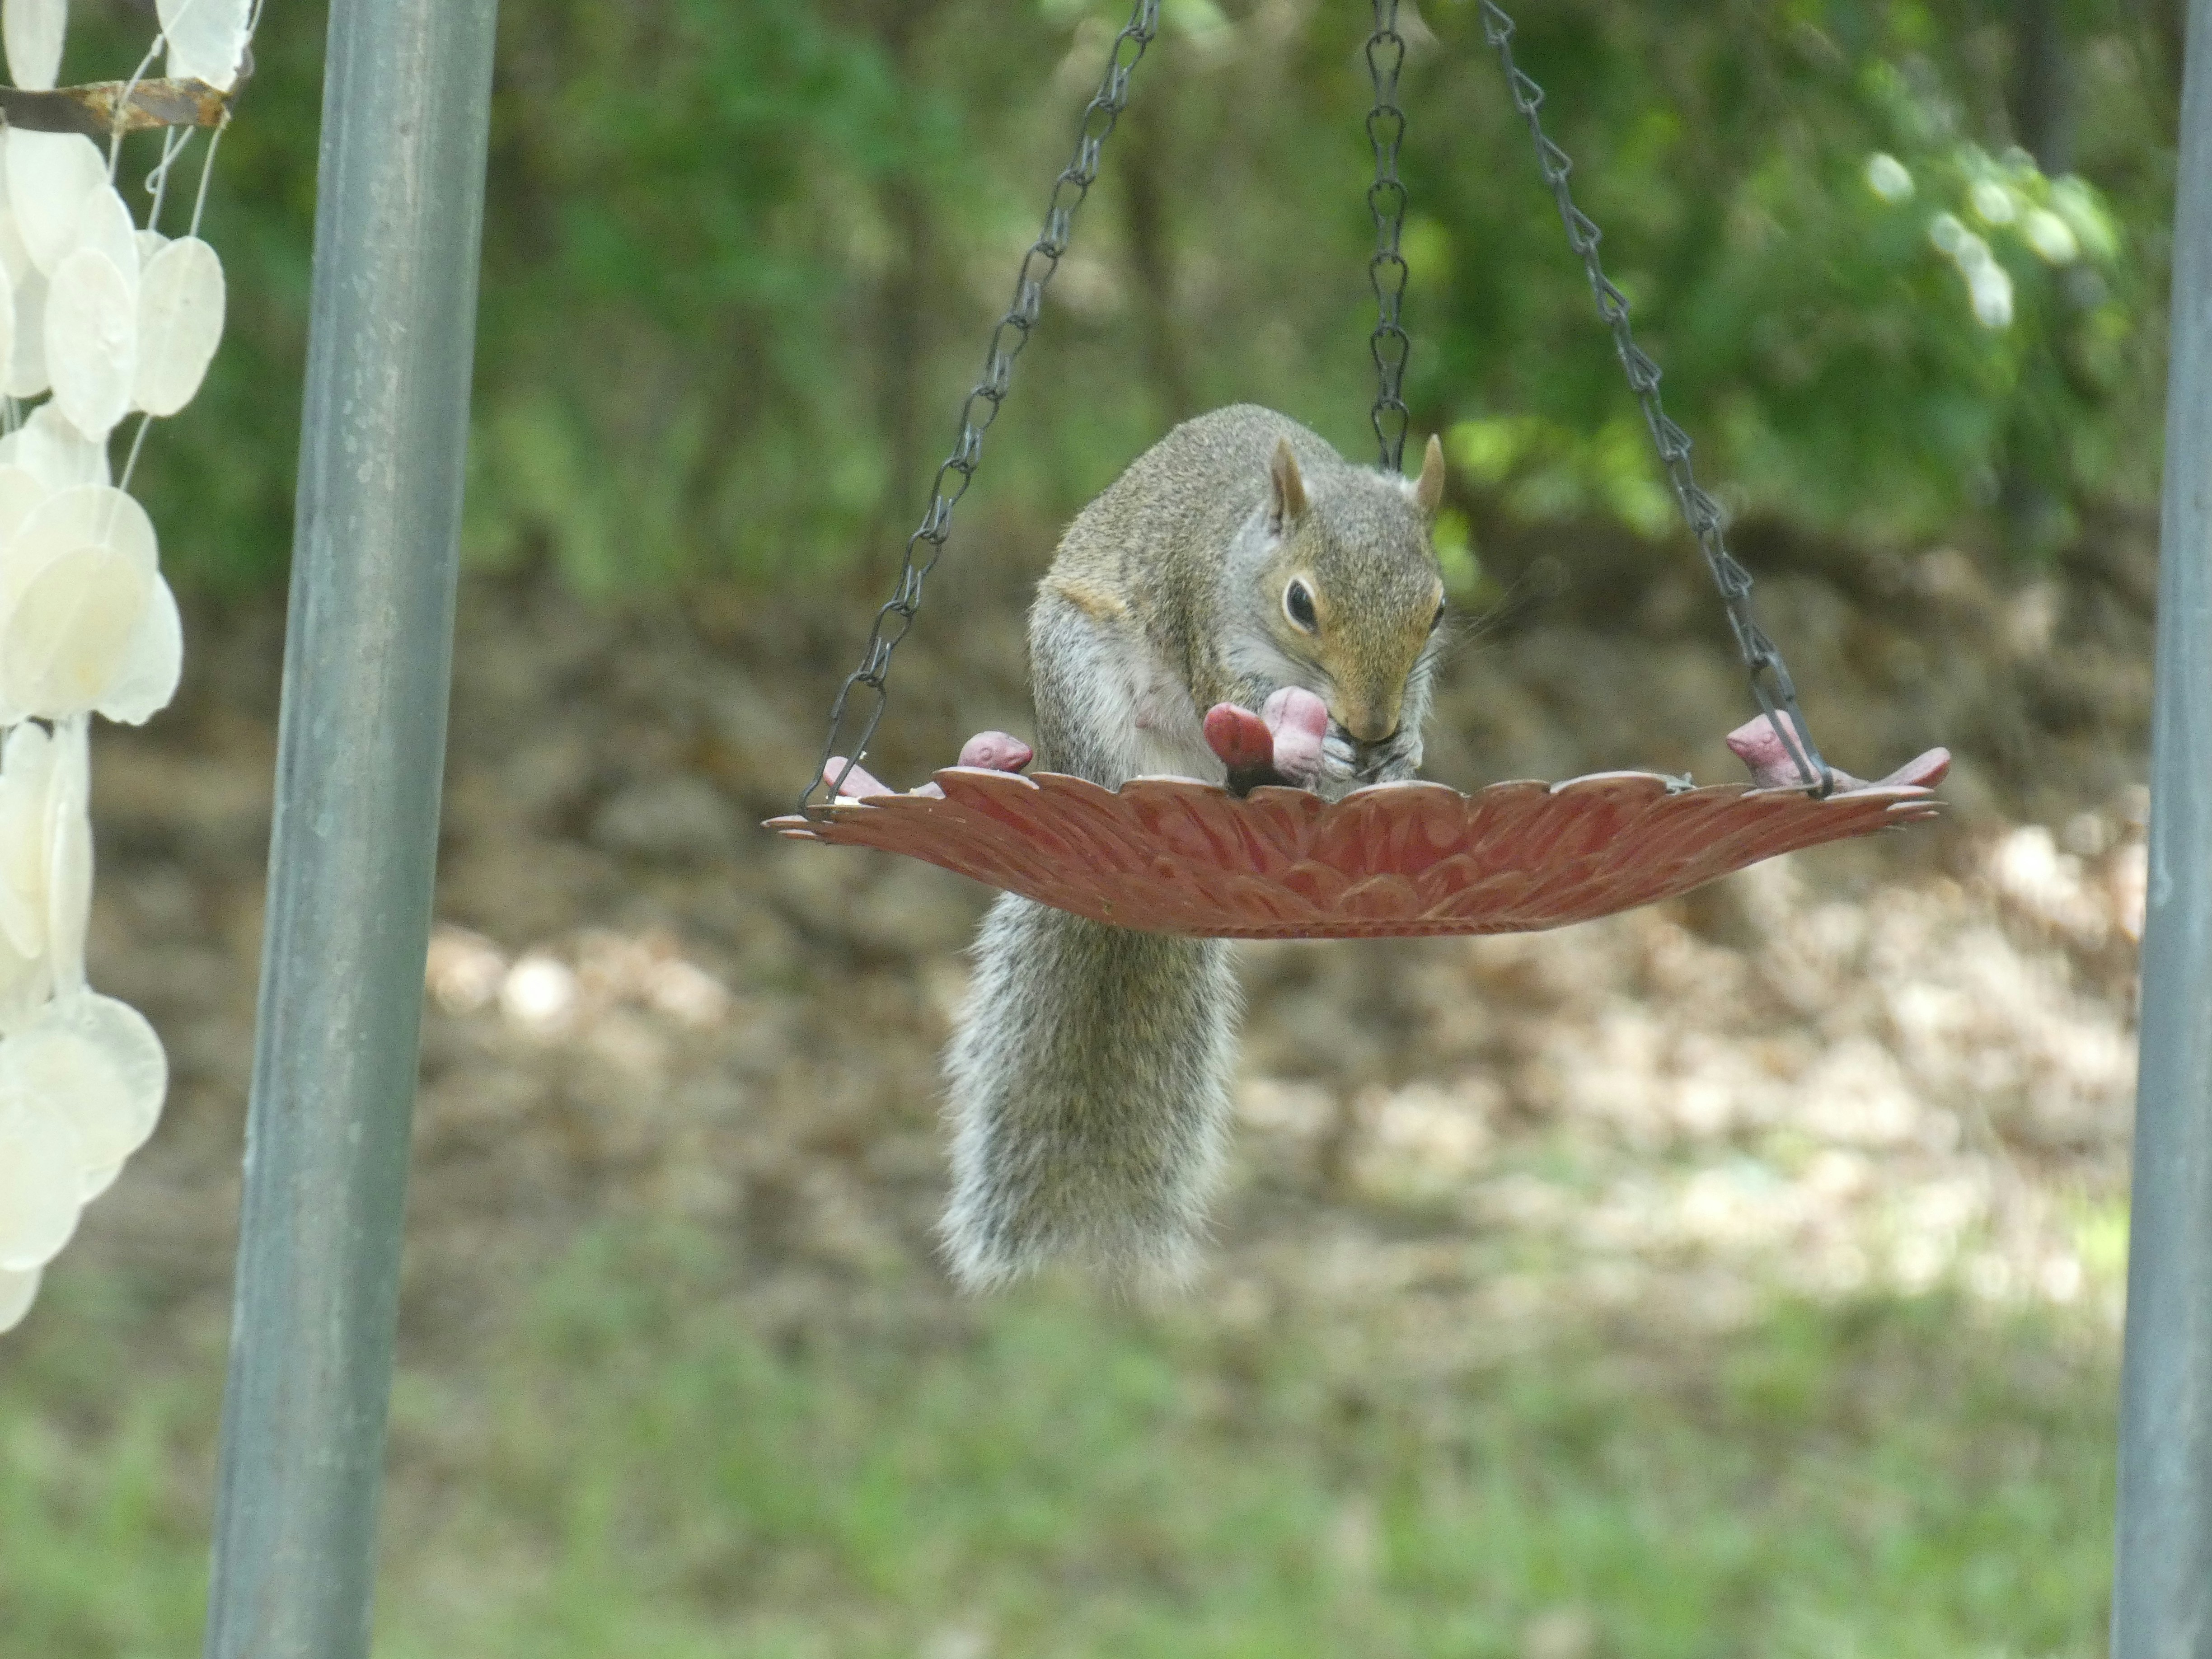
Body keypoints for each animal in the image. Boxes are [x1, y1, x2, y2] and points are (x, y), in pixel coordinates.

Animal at [941, 404, 1448, 1291]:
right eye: (1301, 603)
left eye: (1439, 610)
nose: (1370, 725)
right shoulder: (1204, 615)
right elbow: (1230, 684)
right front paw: (1327, 746)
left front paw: (1402, 746)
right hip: (1087, 685)